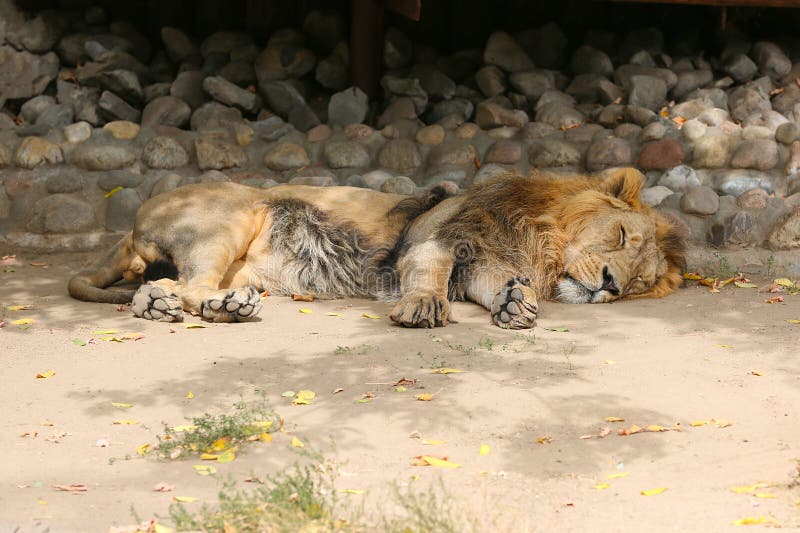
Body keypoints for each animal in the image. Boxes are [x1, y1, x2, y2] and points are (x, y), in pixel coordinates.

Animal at [68, 167, 686, 329]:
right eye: (621, 237)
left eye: (637, 281)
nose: (610, 285)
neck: (537, 239)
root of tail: (133, 223)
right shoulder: (437, 238)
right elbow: (428, 276)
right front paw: (423, 307)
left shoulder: (480, 263)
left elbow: (492, 288)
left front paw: (514, 304)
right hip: (230, 217)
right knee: (181, 287)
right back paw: (209, 307)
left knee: (169, 287)